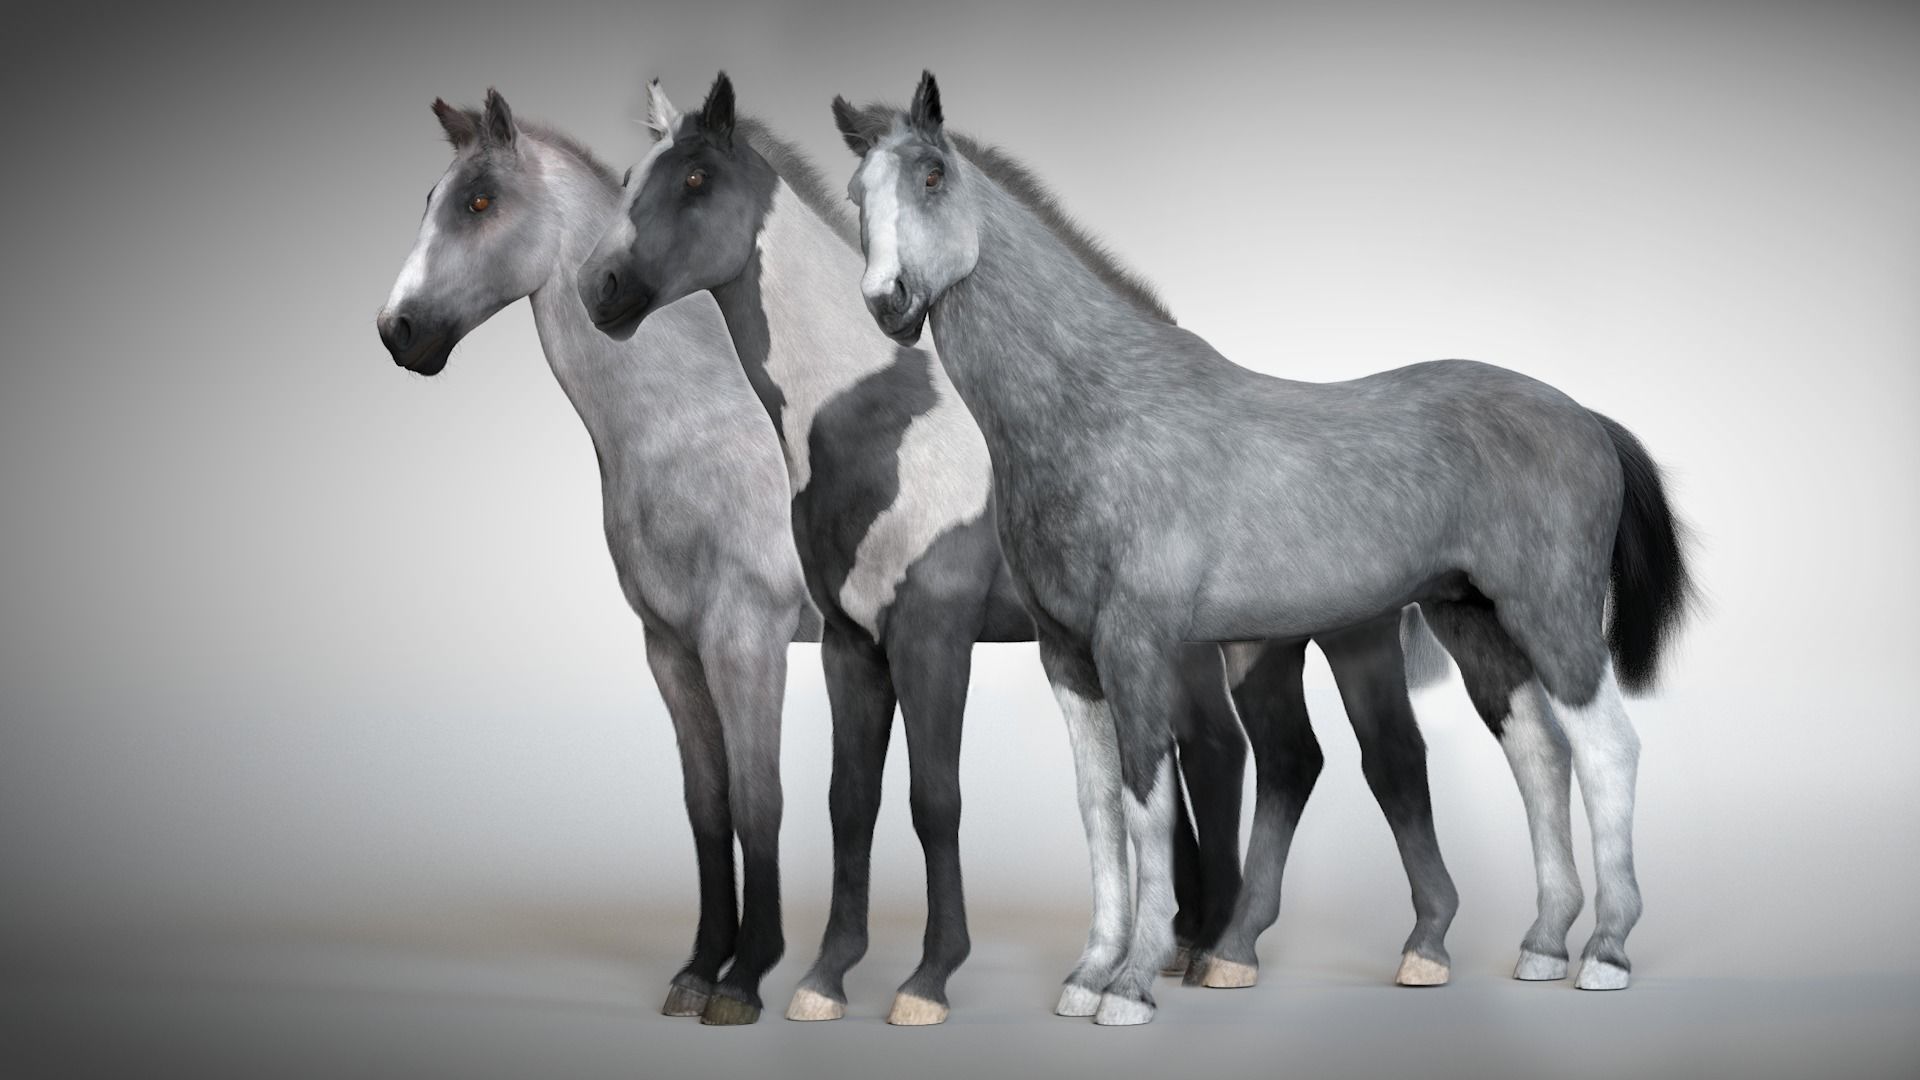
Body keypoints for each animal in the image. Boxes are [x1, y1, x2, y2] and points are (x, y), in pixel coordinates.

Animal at [375, 90, 814, 1025]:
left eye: (478, 202)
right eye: (429, 199)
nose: (398, 331)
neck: (698, 426)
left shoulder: (748, 641)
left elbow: (759, 802)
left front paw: (747, 979)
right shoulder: (672, 647)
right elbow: (707, 805)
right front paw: (700, 968)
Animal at [578, 73, 1469, 1022]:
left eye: (696, 179)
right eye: (631, 178)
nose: (602, 289)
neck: (877, 423)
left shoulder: (932, 635)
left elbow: (934, 799)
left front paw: (926, 980)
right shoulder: (852, 643)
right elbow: (849, 802)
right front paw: (823, 980)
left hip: (1335, 639)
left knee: (1362, 758)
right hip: (1241, 647)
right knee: (1262, 757)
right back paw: (1212, 945)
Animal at [832, 73, 1695, 1024]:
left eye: (934, 176)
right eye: (857, 195)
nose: (888, 301)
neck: (1098, 411)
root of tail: (1587, 419)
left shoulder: (1136, 645)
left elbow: (1145, 801)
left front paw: (1132, 985)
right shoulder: (1068, 656)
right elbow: (1097, 808)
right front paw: (1089, 973)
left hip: (1552, 617)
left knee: (1607, 748)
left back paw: (1606, 950)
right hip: (1473, 622)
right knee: (1538, 753)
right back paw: (1540, 943)